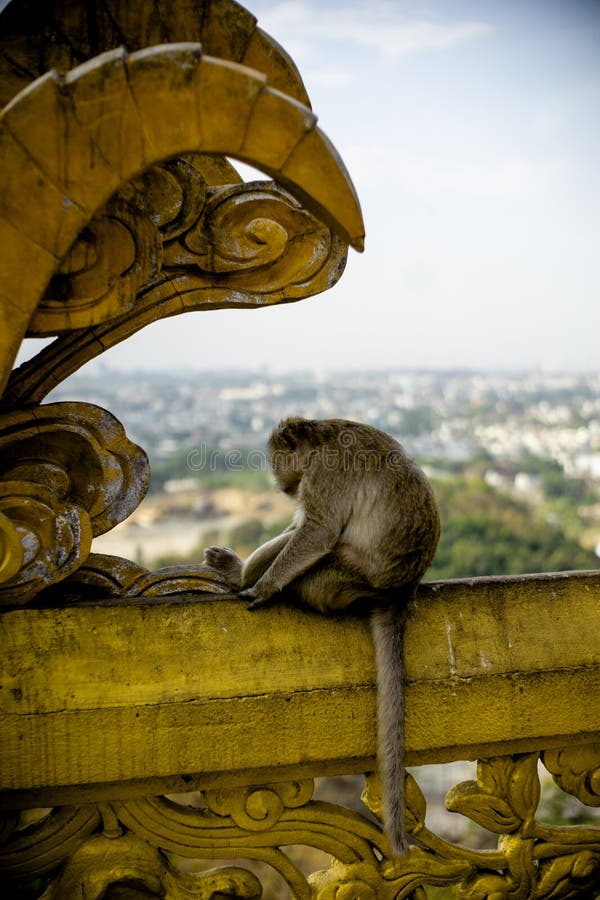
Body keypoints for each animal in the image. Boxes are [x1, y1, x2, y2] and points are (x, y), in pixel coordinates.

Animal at [203, 416, 440, 856]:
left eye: (278, 459)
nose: (280, 484)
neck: (320, 439)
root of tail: (399, 592)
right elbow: (303, 528)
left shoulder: (325, 475)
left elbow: (316, 531)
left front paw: (263, 587)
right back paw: (239, 572)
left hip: (337, 581)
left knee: (315, 548)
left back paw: (257, 581)